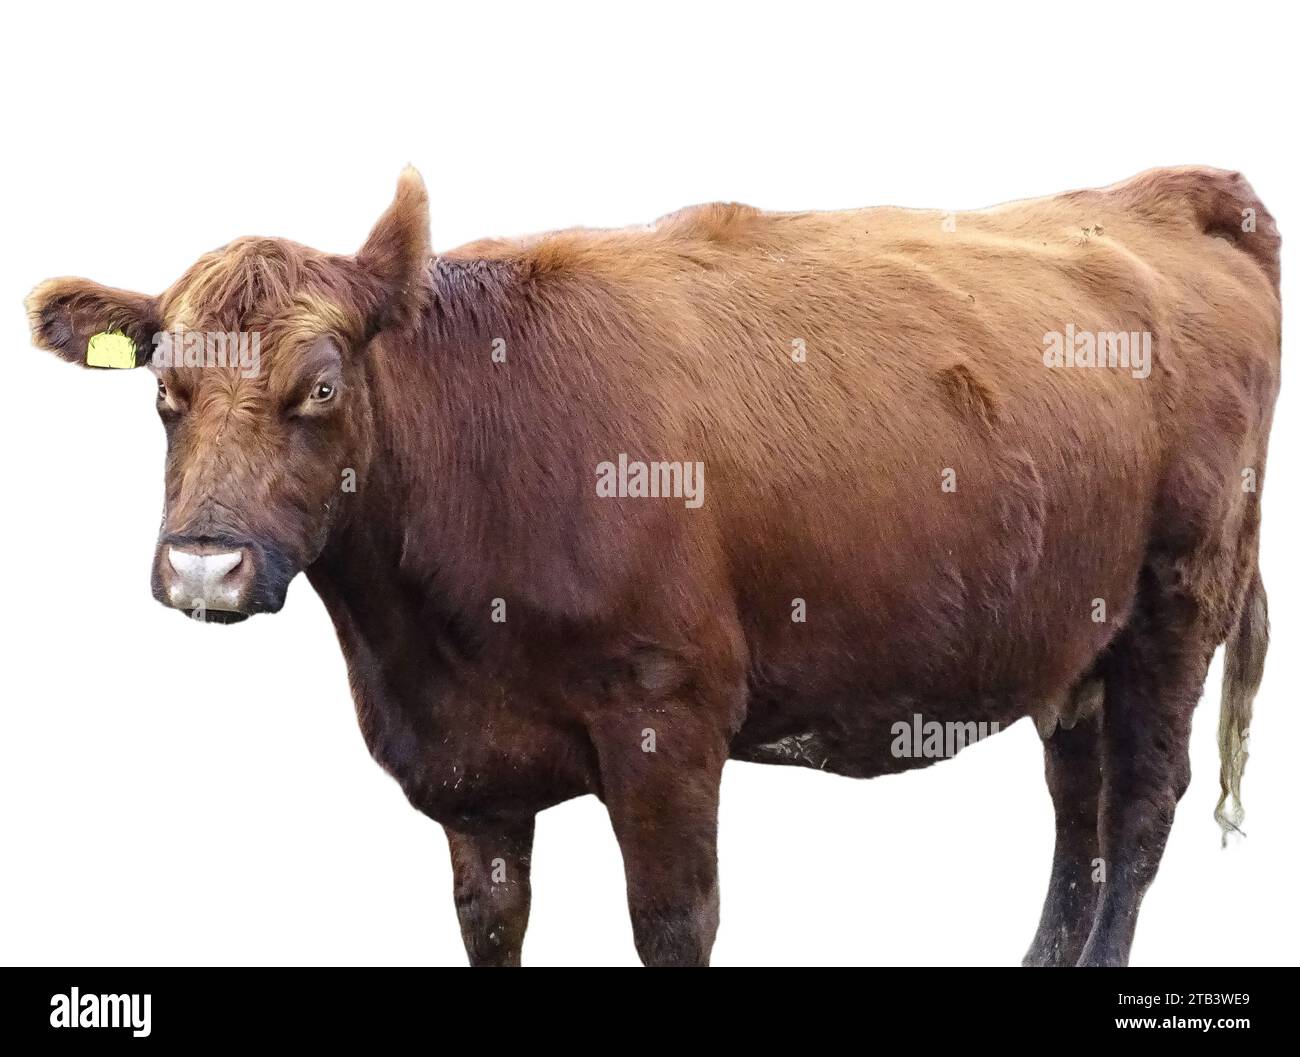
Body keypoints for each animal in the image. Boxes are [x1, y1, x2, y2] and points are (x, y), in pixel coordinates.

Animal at [25, 166, 1279, 967]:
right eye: (163, 390)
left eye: (321, 387)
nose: (205, 566)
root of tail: (1166, 192)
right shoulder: (471, 779)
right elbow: (491, 922)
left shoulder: (665, 721)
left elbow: (672, 924)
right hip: (1073, 626)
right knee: (1078, 805)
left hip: (1181, 595)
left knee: (1139, 807)